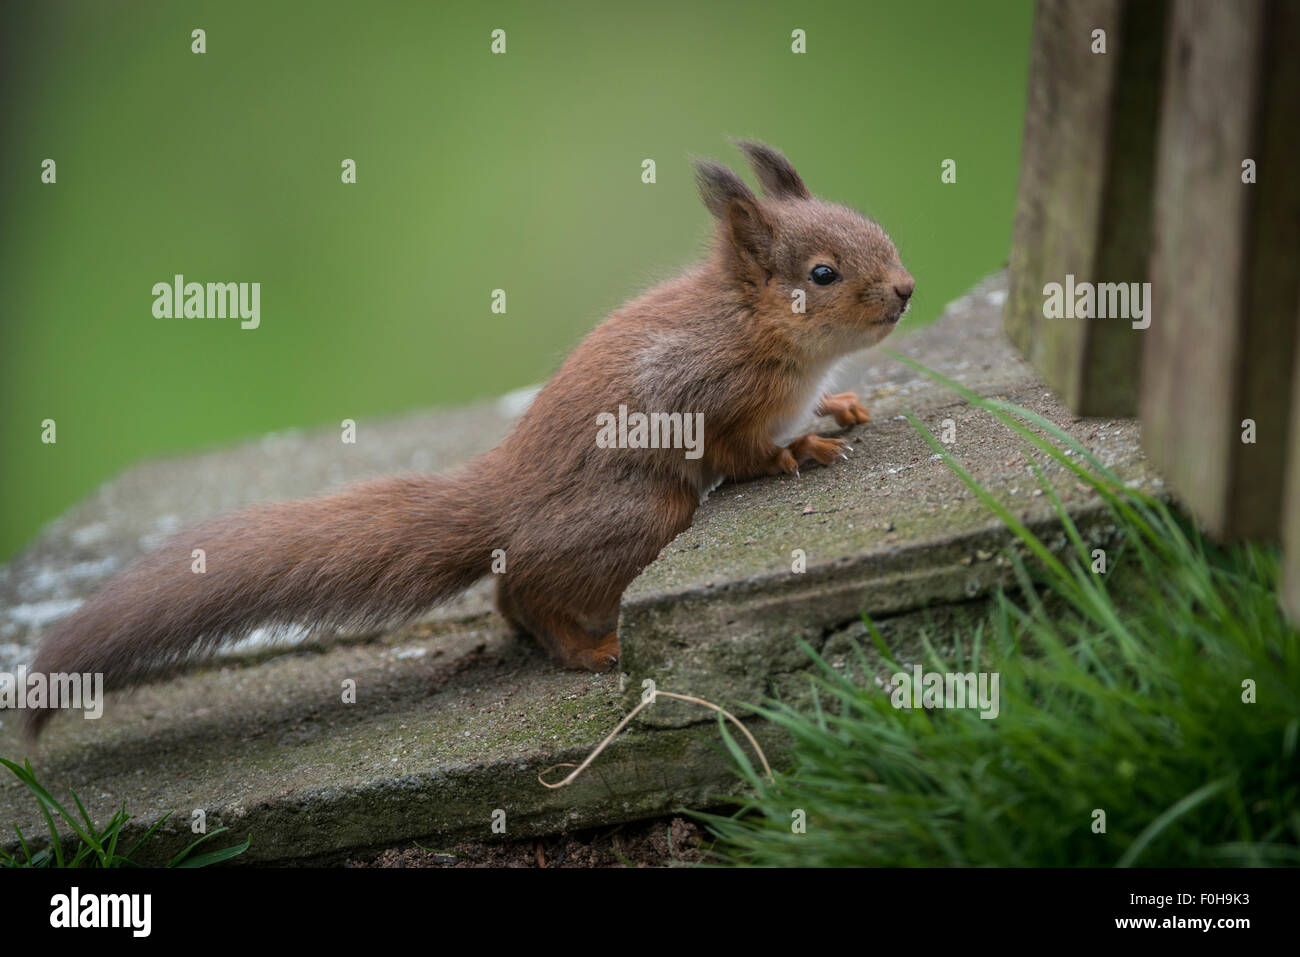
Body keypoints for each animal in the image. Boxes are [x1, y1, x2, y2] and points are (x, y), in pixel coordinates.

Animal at [16, 141, 913, 740]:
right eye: (823, 274)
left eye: (875, 225)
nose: (905, 290)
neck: (756, 328)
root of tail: (503, 501)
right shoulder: (709, 396)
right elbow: (742, 452)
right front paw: (798, 451)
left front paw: (845, 406)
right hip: (642, 513)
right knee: (527, 591)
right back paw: (592, 648)